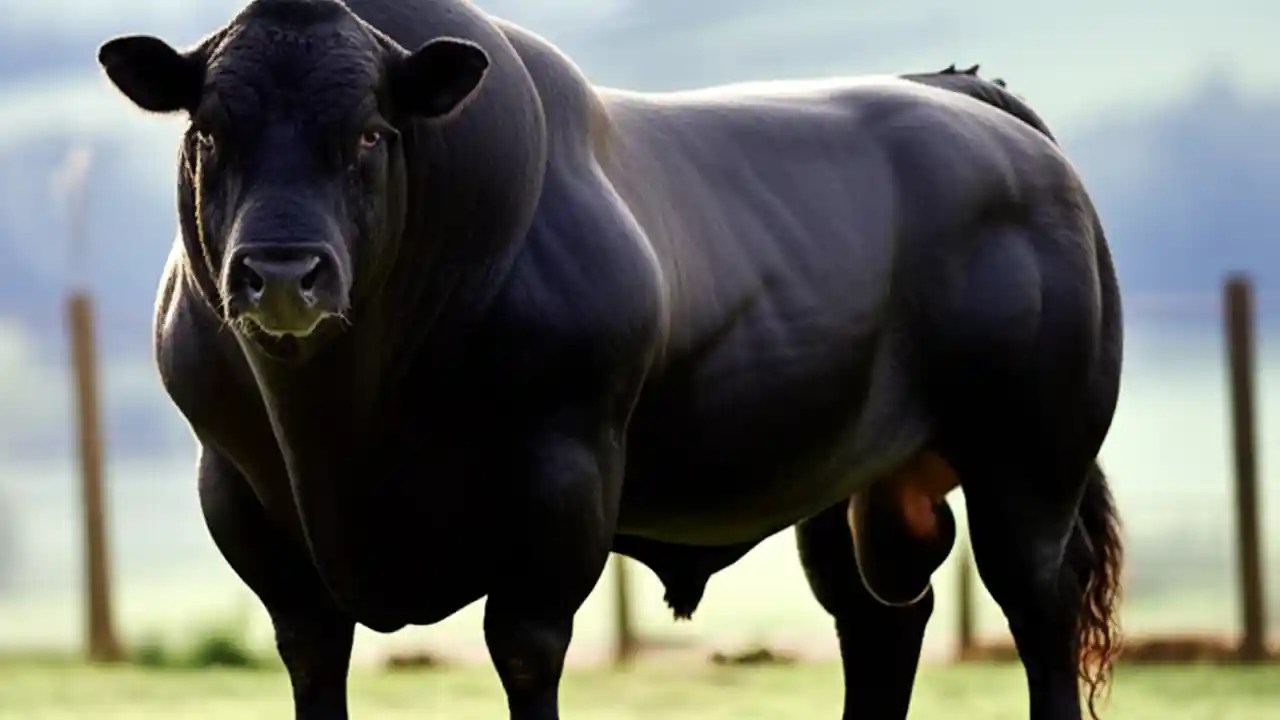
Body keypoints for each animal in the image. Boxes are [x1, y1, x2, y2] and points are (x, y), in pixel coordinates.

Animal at [98, 1, 1123, 718]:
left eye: (369, 133)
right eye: (207, 132)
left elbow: (524, 647)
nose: (281, 273)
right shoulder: (241, 496)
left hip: (1032, 458)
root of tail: (960, 92)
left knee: (1038, 597)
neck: (339, 429)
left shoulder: (562, 474)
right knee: (879, 613)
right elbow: (313, 654)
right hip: (856, 479)